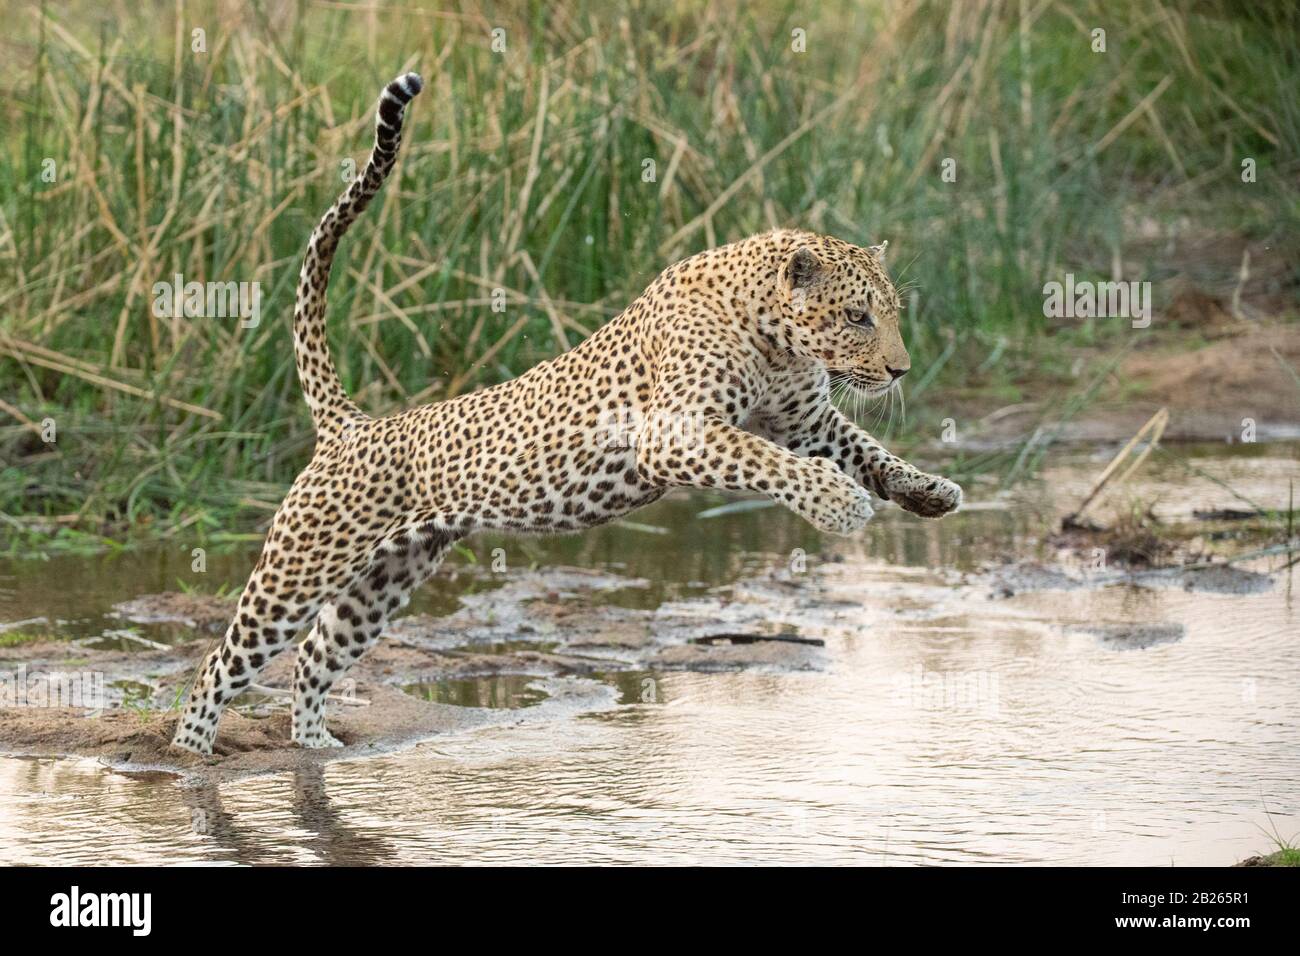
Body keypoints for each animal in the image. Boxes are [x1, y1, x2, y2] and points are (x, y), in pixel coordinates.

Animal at [171, 72, 963, 756]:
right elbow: (768, 462)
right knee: (219, 666)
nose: (900, 369)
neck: (773, 338)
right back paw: (187, 761)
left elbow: (866, 449)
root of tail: (352, 425)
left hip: (383, 581)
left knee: (313, 660)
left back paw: (316, 748)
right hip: (299, 569)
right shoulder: (674, 436)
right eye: (858, 316)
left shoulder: (805, 421)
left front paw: (930, 491)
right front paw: (837, 504)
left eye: (891, 314)